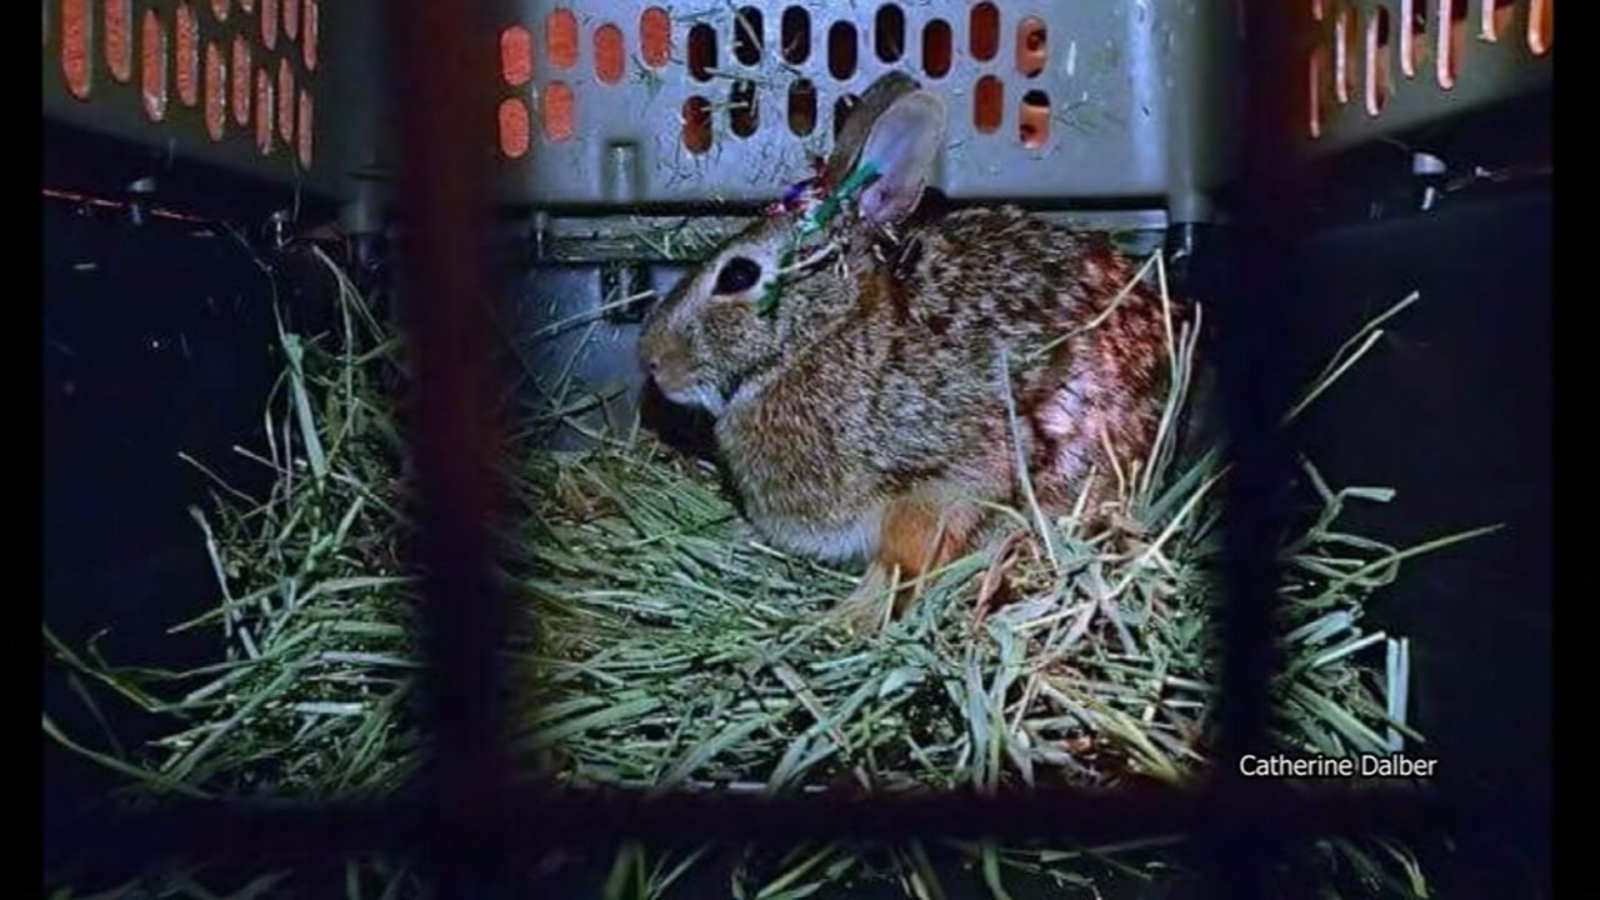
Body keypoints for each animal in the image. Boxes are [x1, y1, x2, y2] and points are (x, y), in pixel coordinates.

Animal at [639, 72, 1184, 632]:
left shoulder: (947, 479)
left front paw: (847, 617)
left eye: (738, 275)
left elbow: (904, 555)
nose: (650, 359)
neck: (828, 334)